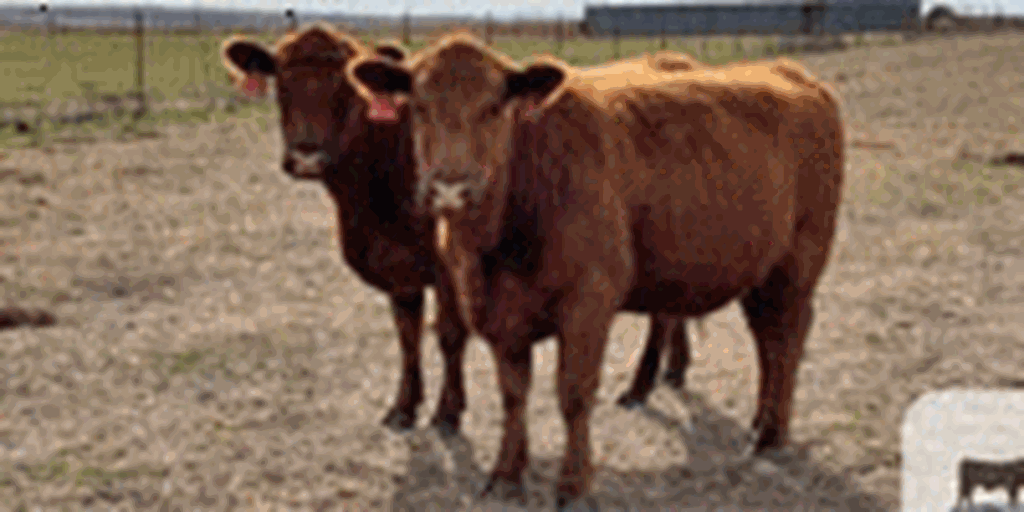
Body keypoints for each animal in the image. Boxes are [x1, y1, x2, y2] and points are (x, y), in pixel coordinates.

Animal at [347, 31, 844, 509]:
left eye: (494, 107)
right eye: (419, 107)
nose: (451, 187)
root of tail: (791, 72)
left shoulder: (588, 302)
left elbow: (574, 393)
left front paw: (574, 485)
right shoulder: (499, 312)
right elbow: (513, 395)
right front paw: (506, 474)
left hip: (799, 265)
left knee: (789, 339)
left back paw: (772, 435)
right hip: (761, 271)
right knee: (768, 341)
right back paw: (761, 420)